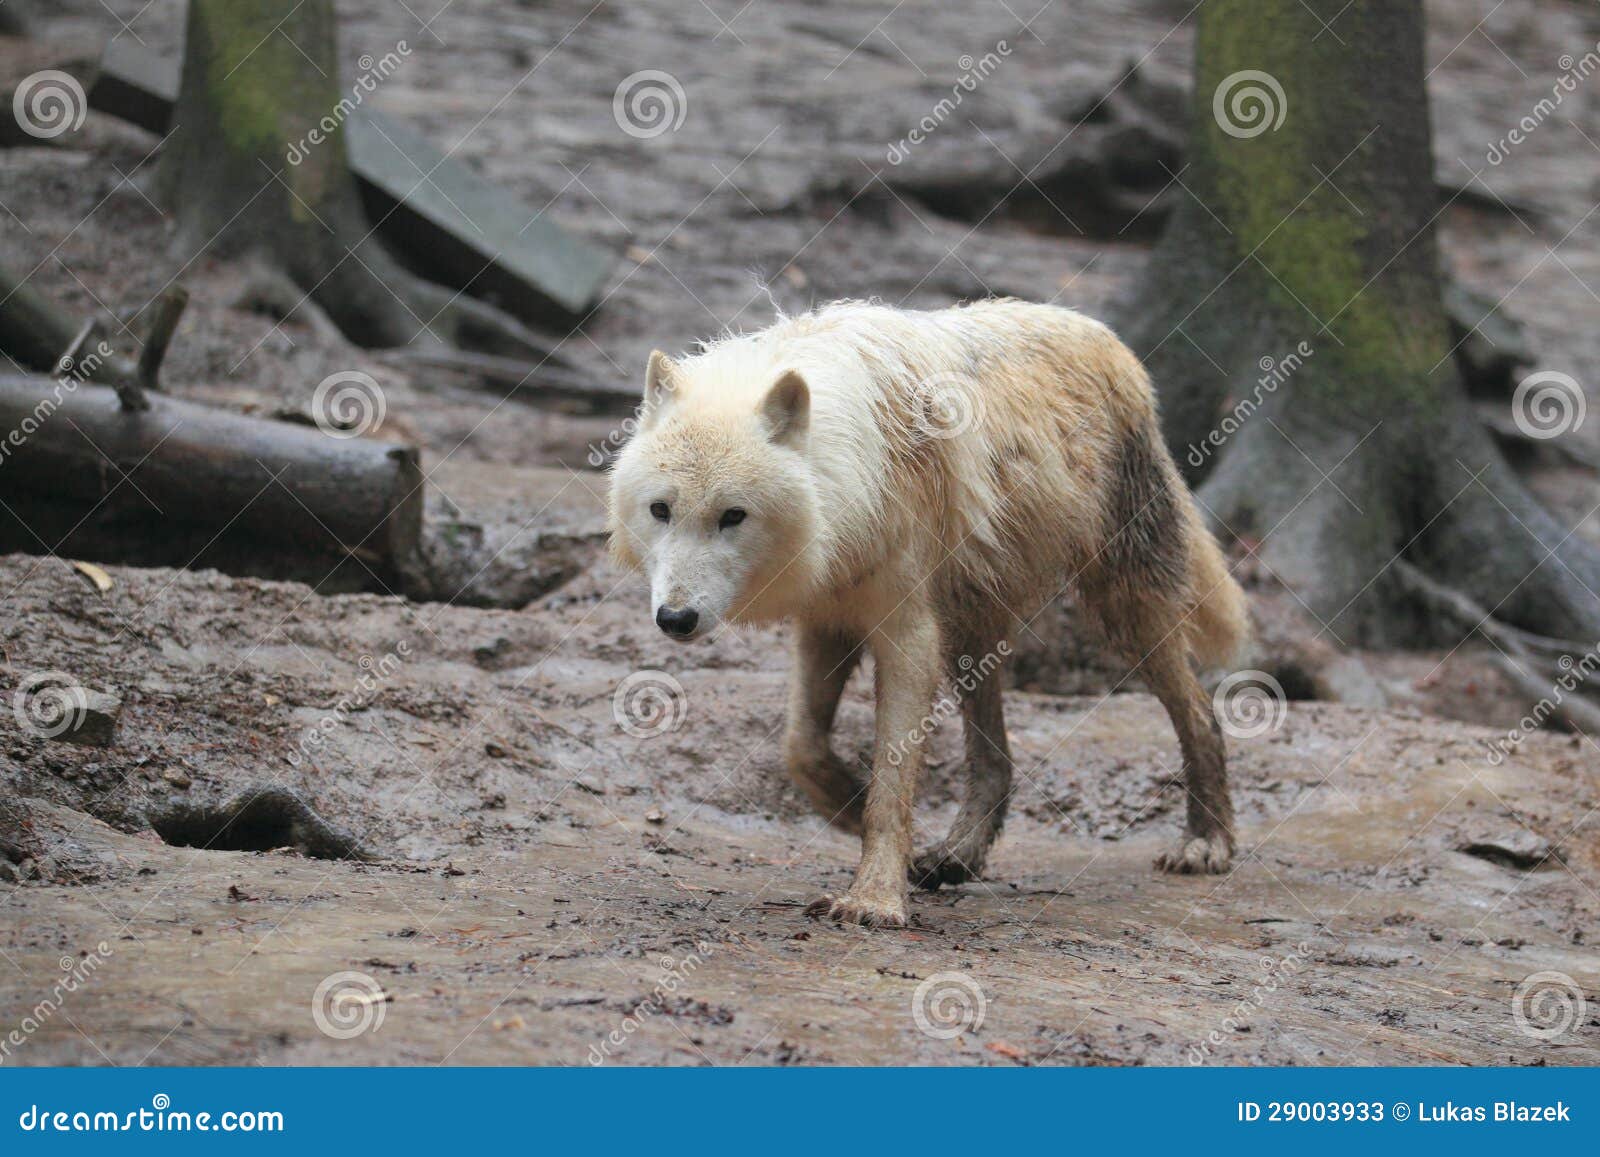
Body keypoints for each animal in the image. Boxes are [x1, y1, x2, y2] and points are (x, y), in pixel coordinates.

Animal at [607, 300, 1248, 928]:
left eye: (733, 516)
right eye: (661, 510)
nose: (676, 618)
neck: (851, 478)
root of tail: (1112, 342)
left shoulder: (907, 631)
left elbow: (894, 777)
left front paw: (873, 897)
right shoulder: (828, 619)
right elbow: (801, 747)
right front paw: (849, 804)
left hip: (1122, 611)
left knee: (1200, 712)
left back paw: (1207, 841)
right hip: (970, 632)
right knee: (997, 762)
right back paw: (955, 857)